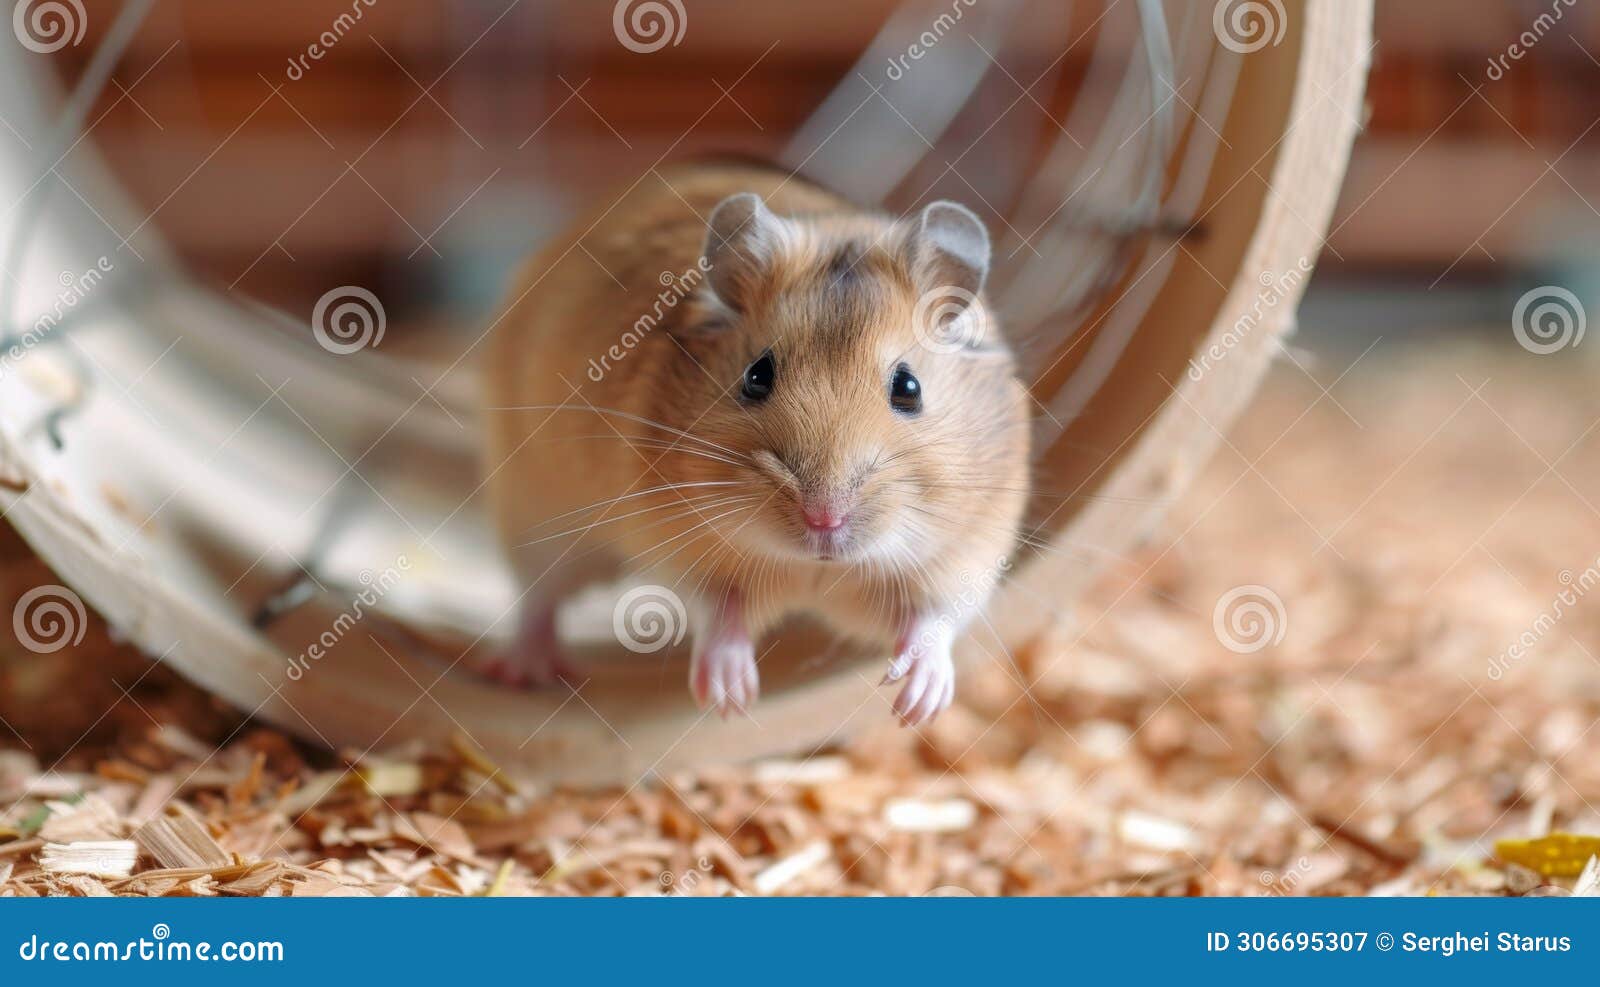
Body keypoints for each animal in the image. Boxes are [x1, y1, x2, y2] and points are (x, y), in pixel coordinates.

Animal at [482, 159, 1030, 726]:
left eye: (909, 388)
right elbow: (719, 609)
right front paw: (731, 698)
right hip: (531, 510)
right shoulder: (679, 544)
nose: (823, 520)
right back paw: (521, 671)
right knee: (538, 595)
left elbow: (934, 619)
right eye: (756, 376)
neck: (813, 567)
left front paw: (917, 707)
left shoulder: (970, 550)